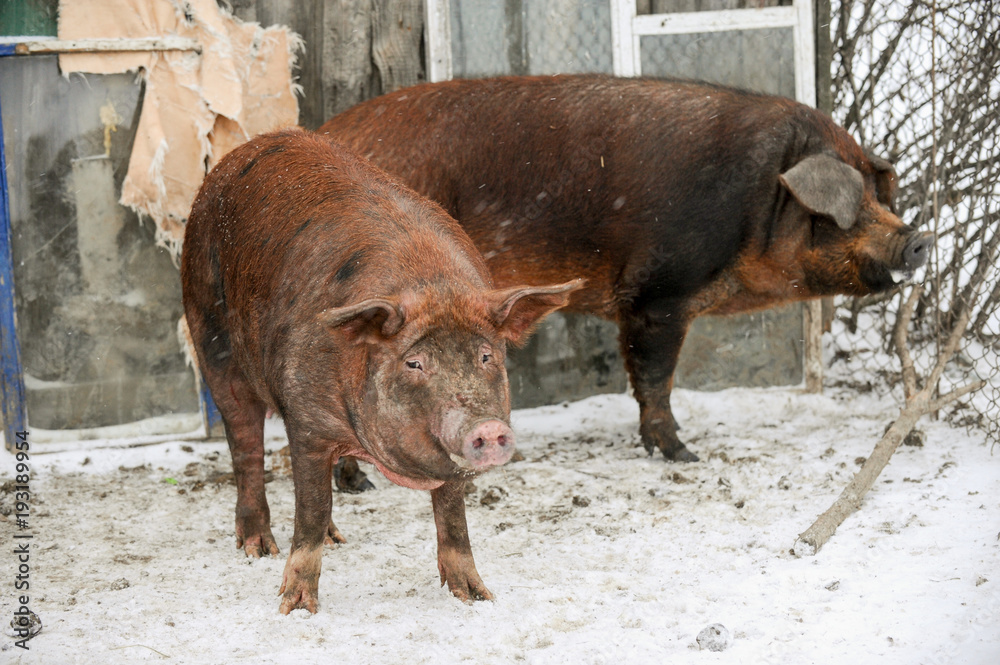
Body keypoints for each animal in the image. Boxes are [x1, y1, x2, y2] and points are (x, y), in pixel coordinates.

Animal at [180, 128, 579, 613]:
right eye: (415, 362)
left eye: (486, 356)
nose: (486, 428)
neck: (430, 285)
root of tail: (235, 156)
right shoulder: (308, 421)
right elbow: (310, 510)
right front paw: (296, 608)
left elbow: (453, 516)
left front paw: (476, 597)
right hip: (210, 337)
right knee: (245, 445)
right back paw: (257, 547)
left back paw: (336, 537)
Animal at [317, 74, 934, 463]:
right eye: (851, 210)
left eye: (880, 196)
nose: (921, 239)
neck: (757, 203)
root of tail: (327, 133)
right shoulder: (656, 293)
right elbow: (656, 377)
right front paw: (684, 455)